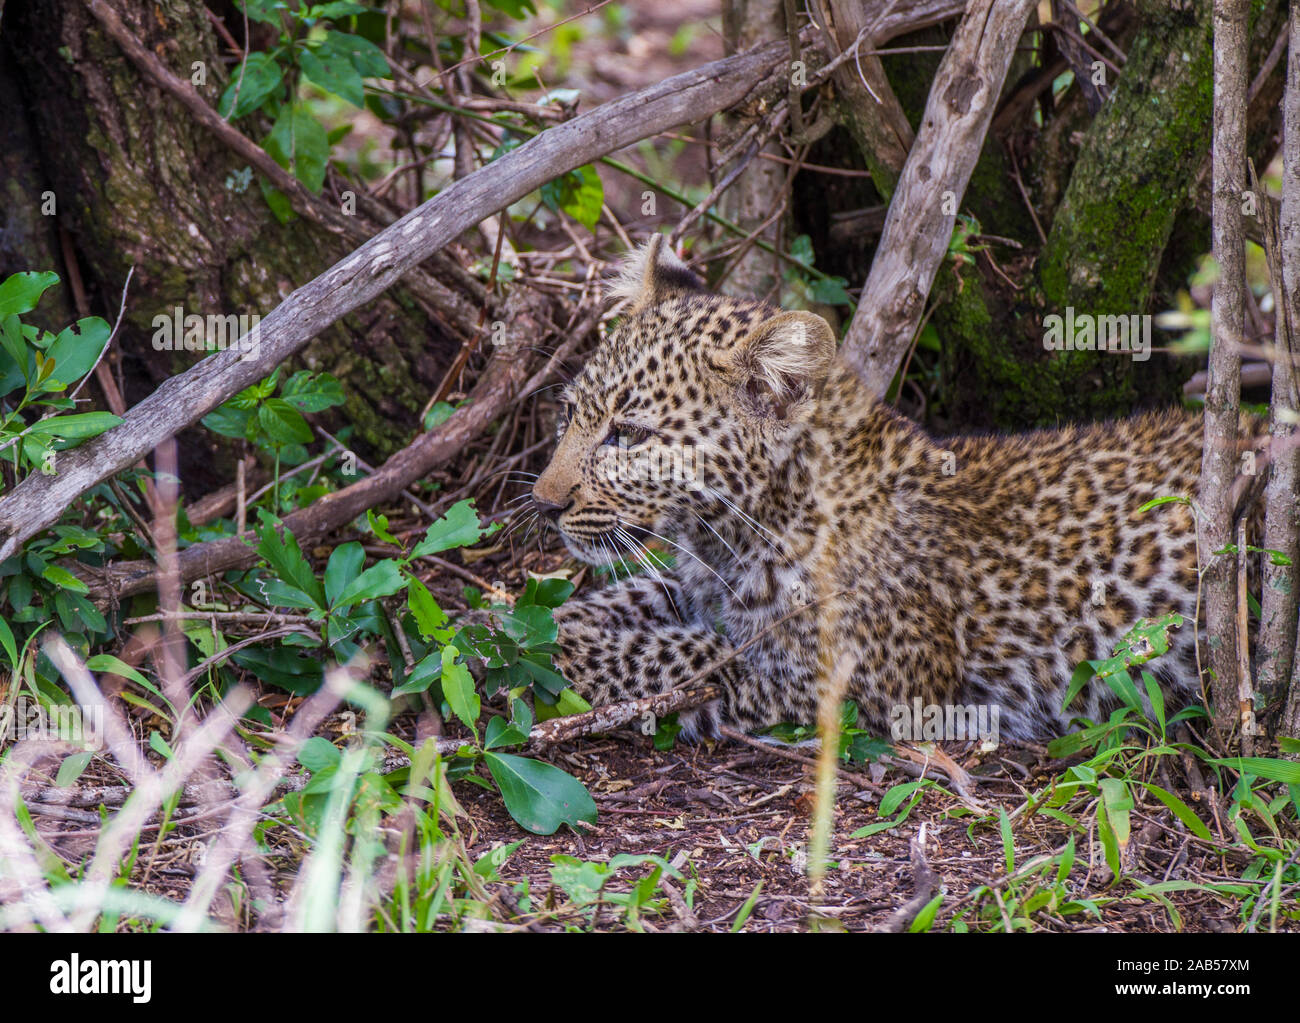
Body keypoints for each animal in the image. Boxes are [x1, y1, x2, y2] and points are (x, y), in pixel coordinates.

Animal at [509, 235, 1264, 743]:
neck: (729, 533)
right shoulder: (702, 587)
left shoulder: (852, 680)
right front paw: (530, 620)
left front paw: (536, 648)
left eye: (629, 435)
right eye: (573, 414)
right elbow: (618, 605)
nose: (545, 504)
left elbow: (679, 657)